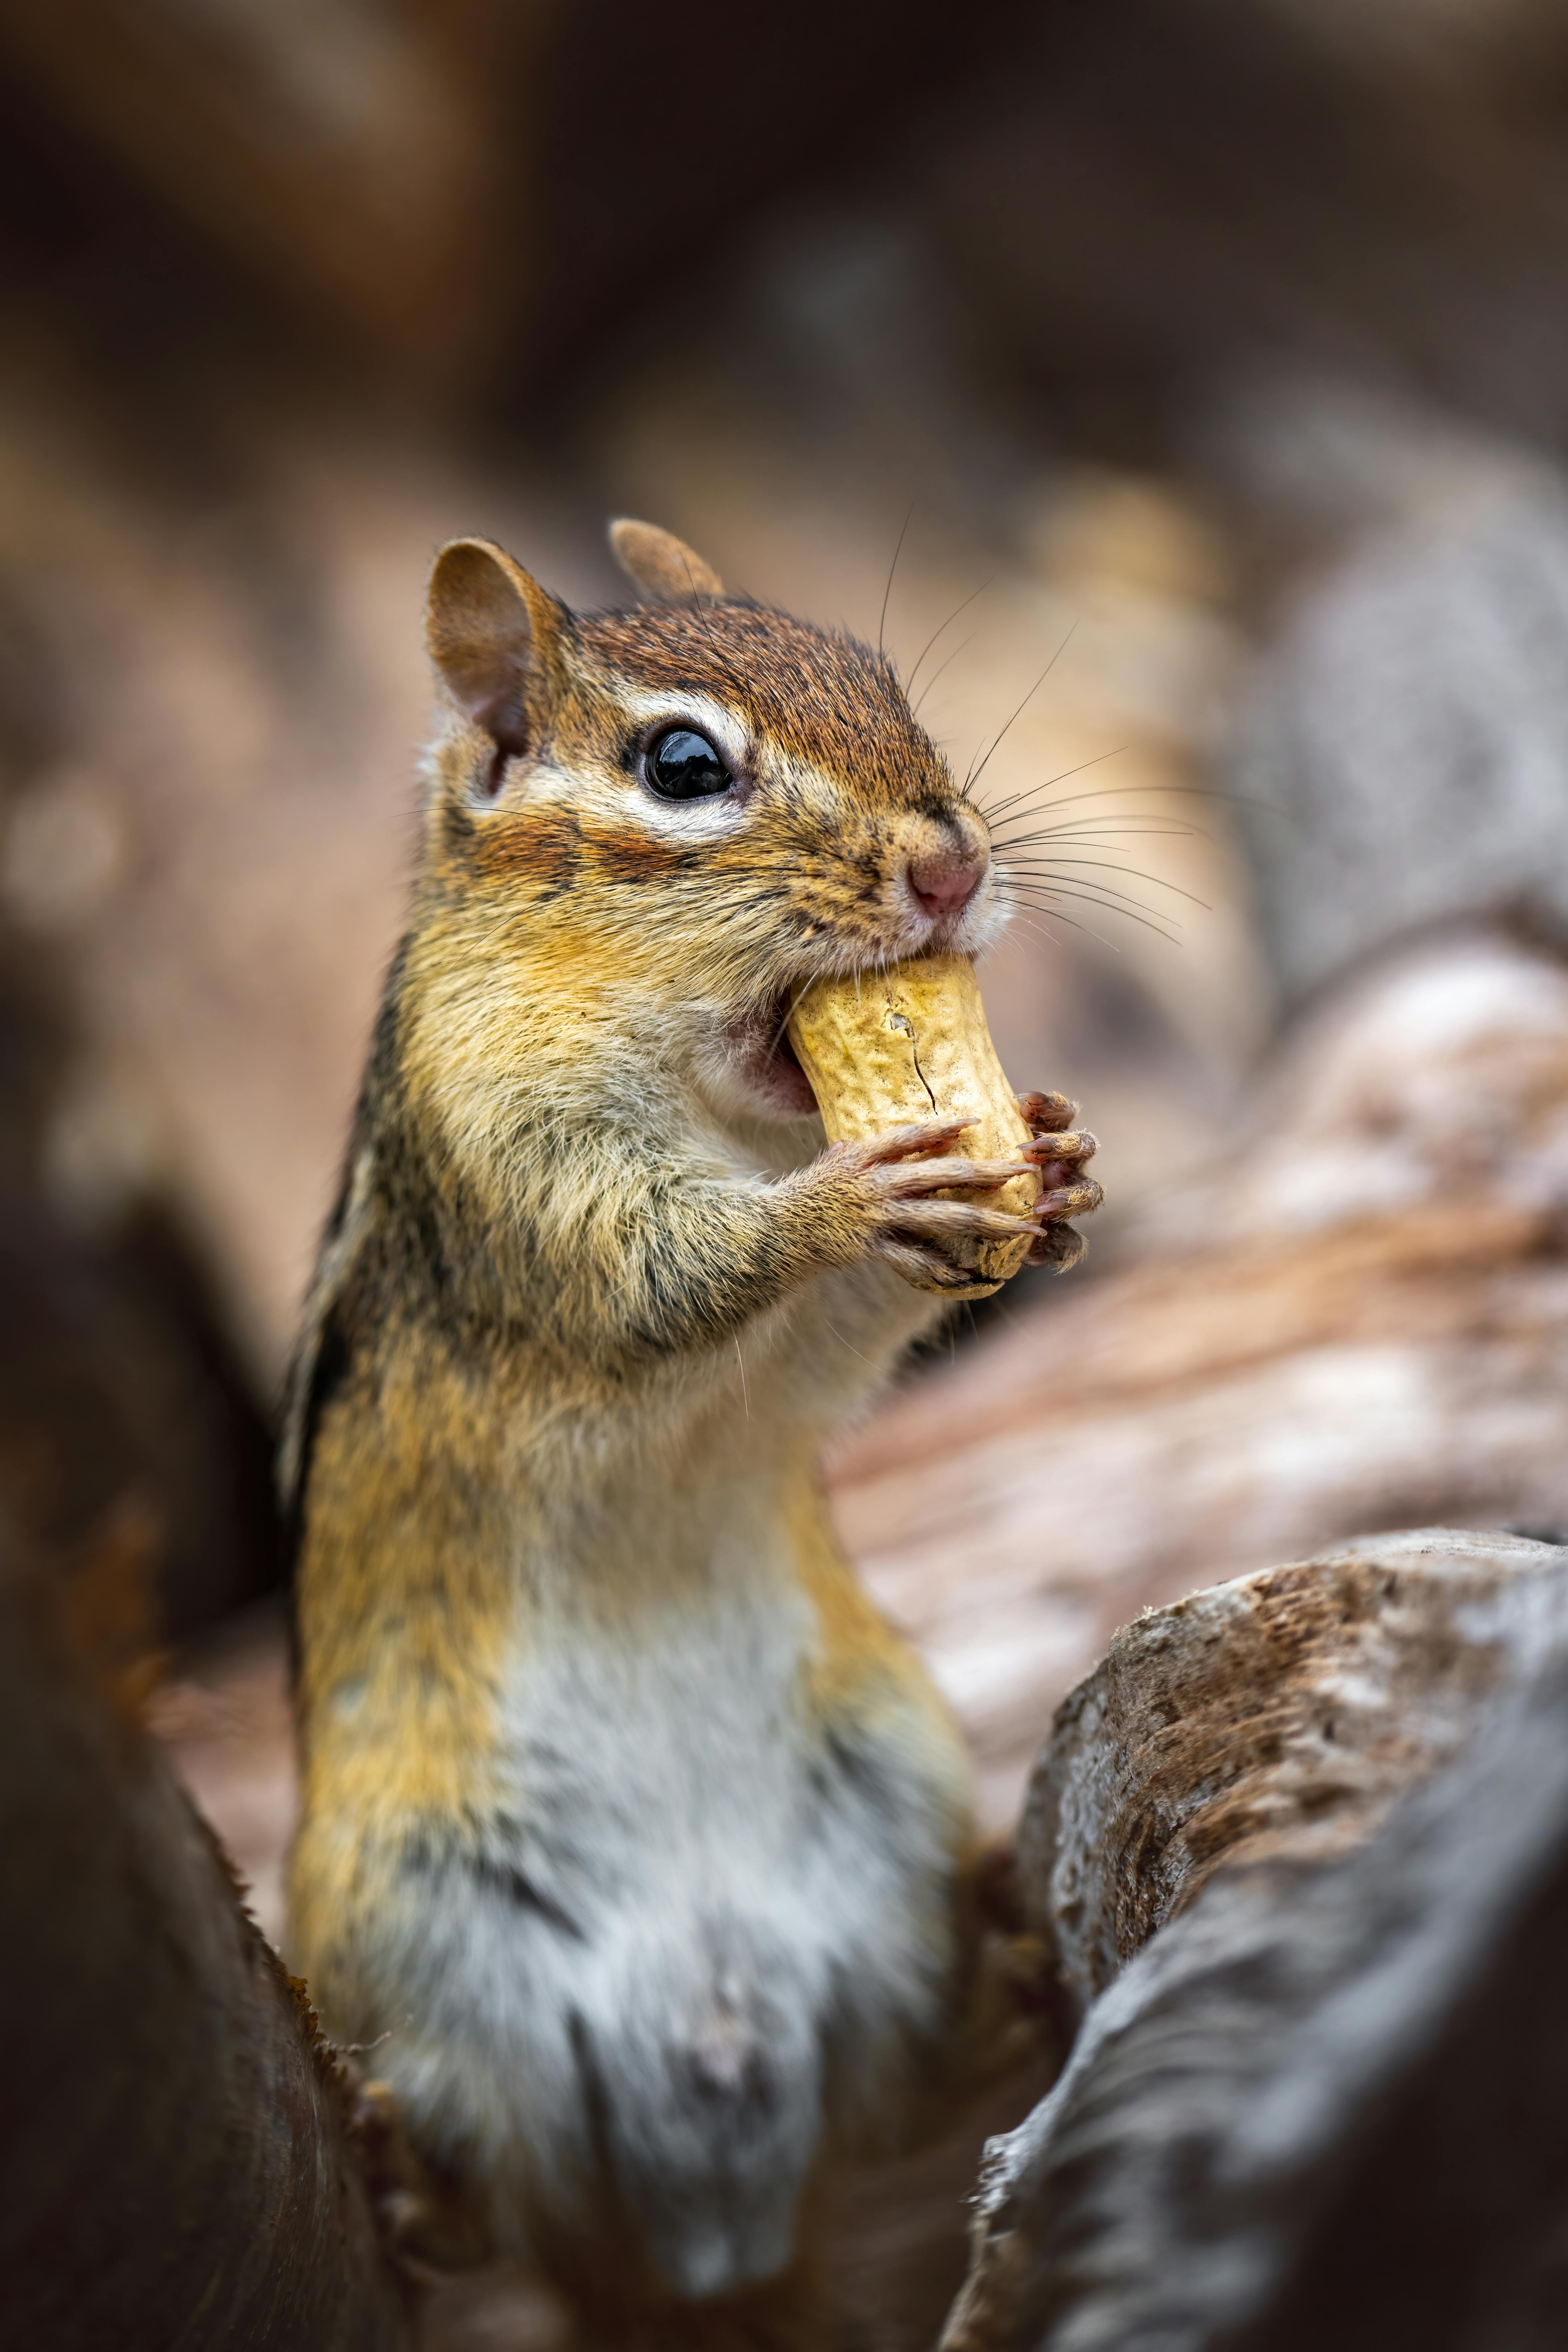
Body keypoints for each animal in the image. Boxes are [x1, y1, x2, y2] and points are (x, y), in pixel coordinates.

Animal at [282, 519, 1102, 2349]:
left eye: (884, 680)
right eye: (681, 767)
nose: (953, 865)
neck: (726, 1106)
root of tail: (714, 2243)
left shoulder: (792, 1366)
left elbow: (841, 1348)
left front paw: (1050, 1151)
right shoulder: (514, 1156)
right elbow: (654, 1268)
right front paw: (851, 1201)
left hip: (885, 1805)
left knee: (898, 2092)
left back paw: (1007, 2003)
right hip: (407, 1919)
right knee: (497, 2201)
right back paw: (409, 2183)